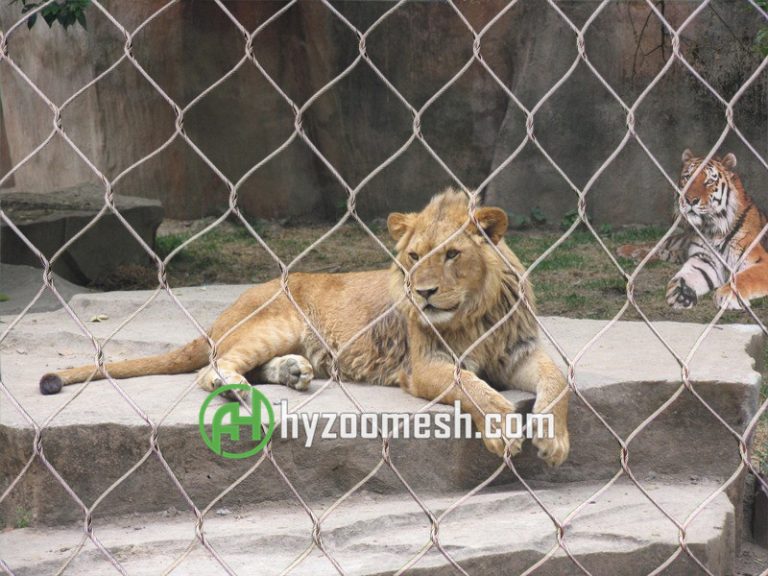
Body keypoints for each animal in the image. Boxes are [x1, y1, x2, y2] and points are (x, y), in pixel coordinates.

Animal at [39, 189, 570, 464]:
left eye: (453, 254)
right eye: (414, 256)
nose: (422, 293)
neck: (476, 312)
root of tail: (224, 312)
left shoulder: (520, 351)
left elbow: (558, 380)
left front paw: (553, 439)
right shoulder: (424, 366)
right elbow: (474, 387)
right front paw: (504, 429)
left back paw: (293, 373)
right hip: (274, 323)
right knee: (212, 369)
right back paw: (243, 392)